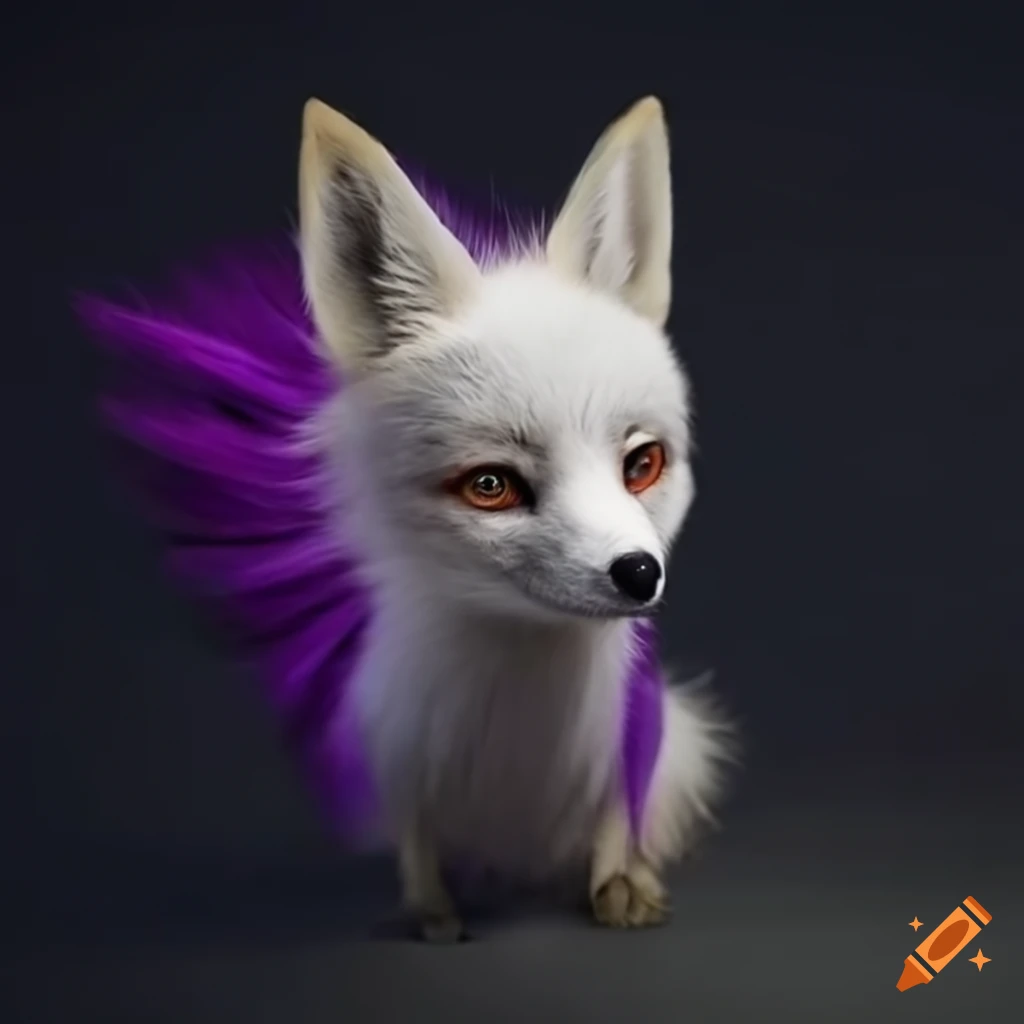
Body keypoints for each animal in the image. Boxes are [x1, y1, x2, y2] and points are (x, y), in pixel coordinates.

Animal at [77, 95, 734, 942]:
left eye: (643, 465)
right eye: (491, 485)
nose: (639, 574)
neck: (520, 719)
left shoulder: (629, 741)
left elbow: (618, 820)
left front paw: (621, 887)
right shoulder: (400, 749)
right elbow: (420, 841)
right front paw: (432, 915)